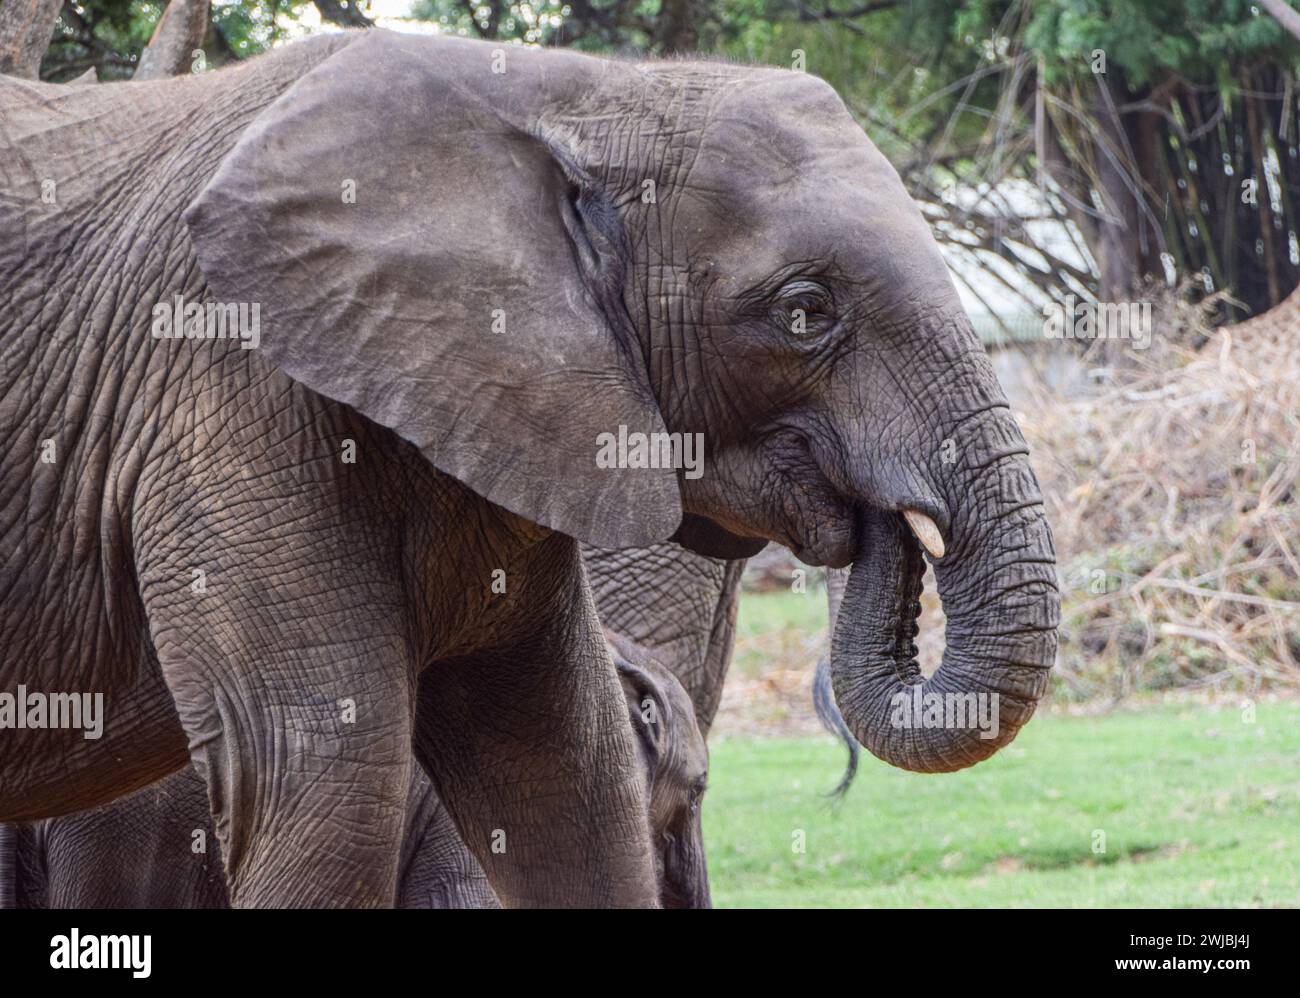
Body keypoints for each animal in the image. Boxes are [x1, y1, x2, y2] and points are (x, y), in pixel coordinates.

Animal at [0, 28, 1059, 907]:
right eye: (805, 310)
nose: (887, 515)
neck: (576, 95)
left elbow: (565, 773)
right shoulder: (224, 392)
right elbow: (321, 777)